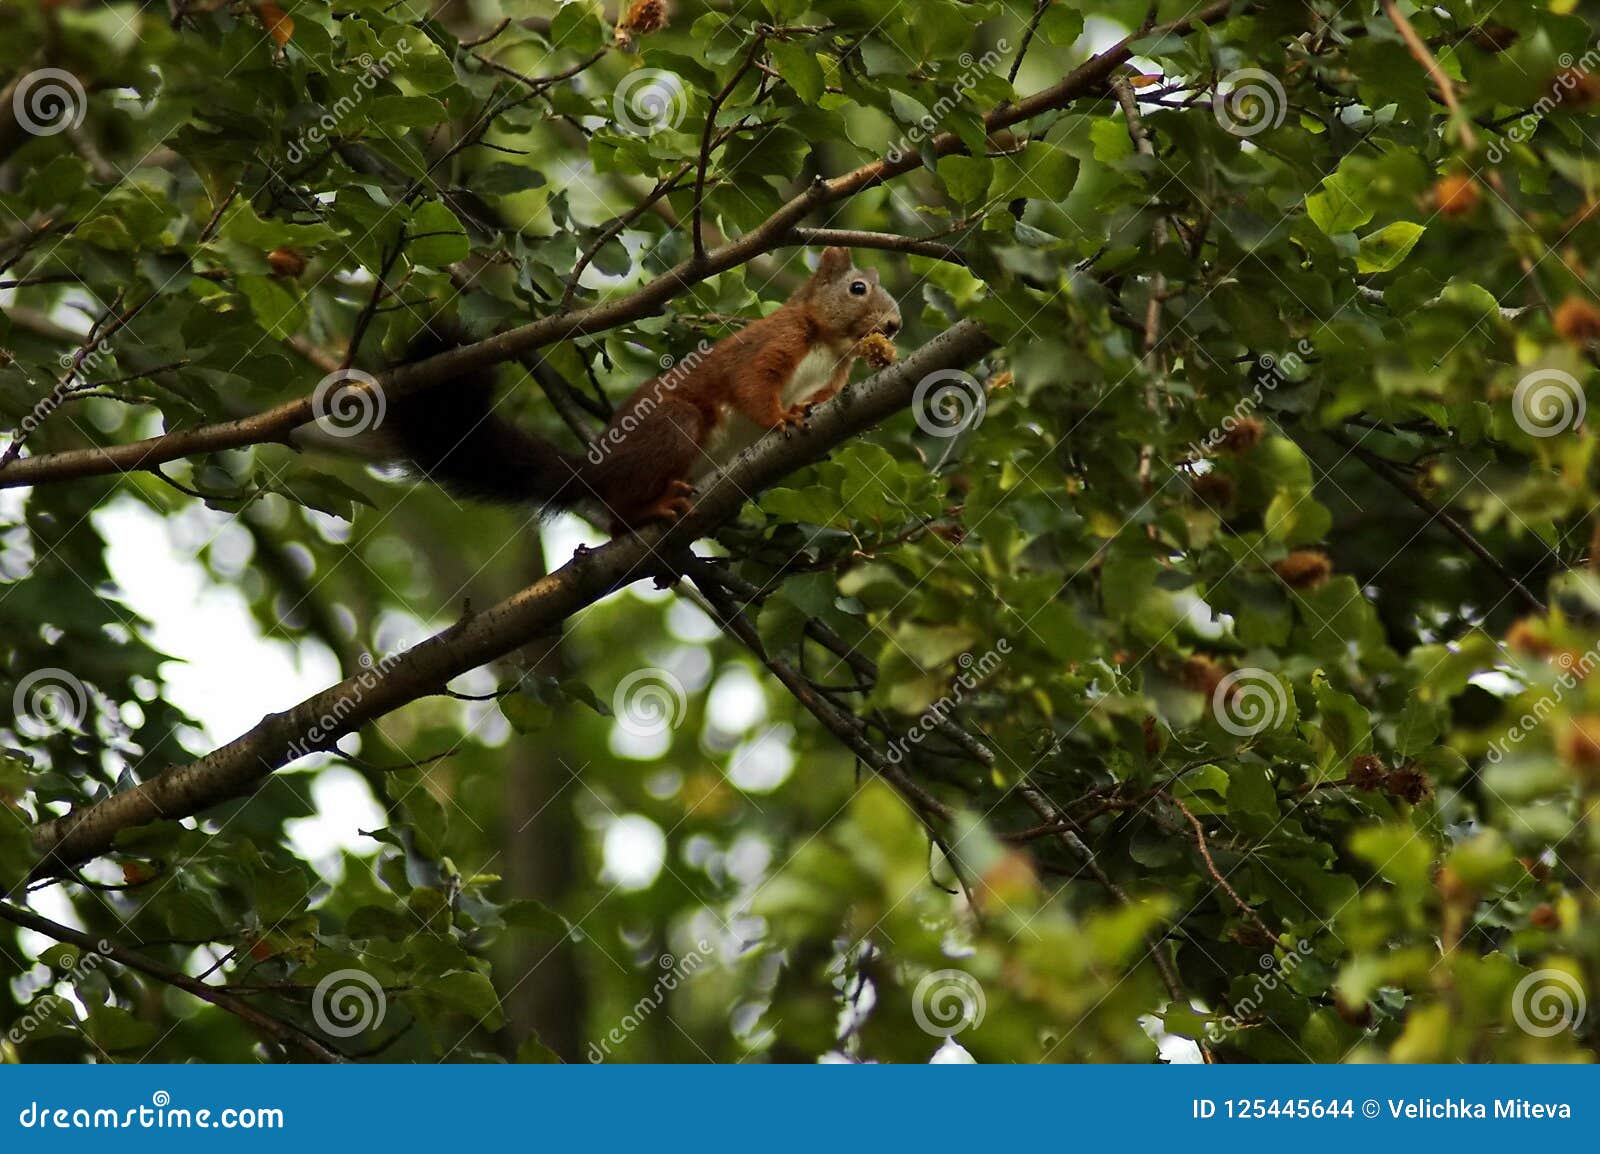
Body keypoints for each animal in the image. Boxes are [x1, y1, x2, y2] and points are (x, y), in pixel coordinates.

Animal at [385, 247, 902, 531]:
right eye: (858, 288)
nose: (895, 325)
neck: (829, 344)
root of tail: (597, 470)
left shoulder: (835, 377)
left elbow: (824, 398)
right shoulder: (773, 343)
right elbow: (752, 384)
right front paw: (782, 417)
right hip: (673, 425)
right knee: (618, 515)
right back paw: (650, 509)